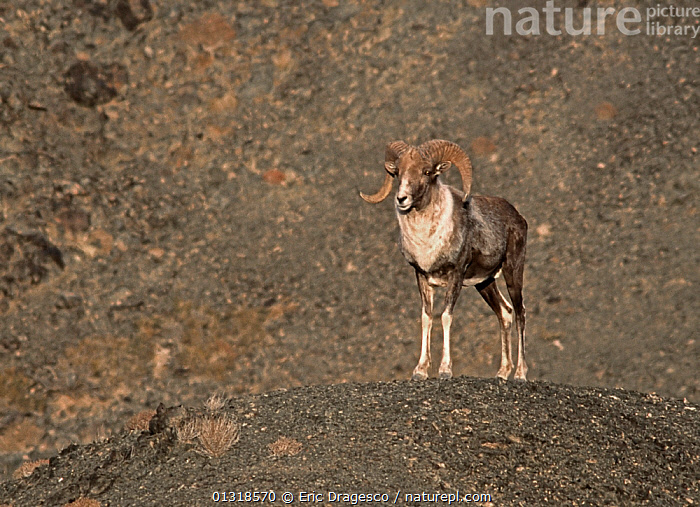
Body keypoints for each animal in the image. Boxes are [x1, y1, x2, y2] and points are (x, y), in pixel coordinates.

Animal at [360, 139, 528, 381]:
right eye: (398, 171)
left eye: (426, 171)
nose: (402, 199)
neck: (427, 239)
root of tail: (518, 218)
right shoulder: (422, 277)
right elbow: (426, 318)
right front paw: (420, 371)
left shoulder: (456, 275)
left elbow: (446, 316)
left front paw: (445, 370)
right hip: (485, 283)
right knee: (504, 313)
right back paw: (502, 373)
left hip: (512, 271)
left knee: (520, 313)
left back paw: (520, 374)